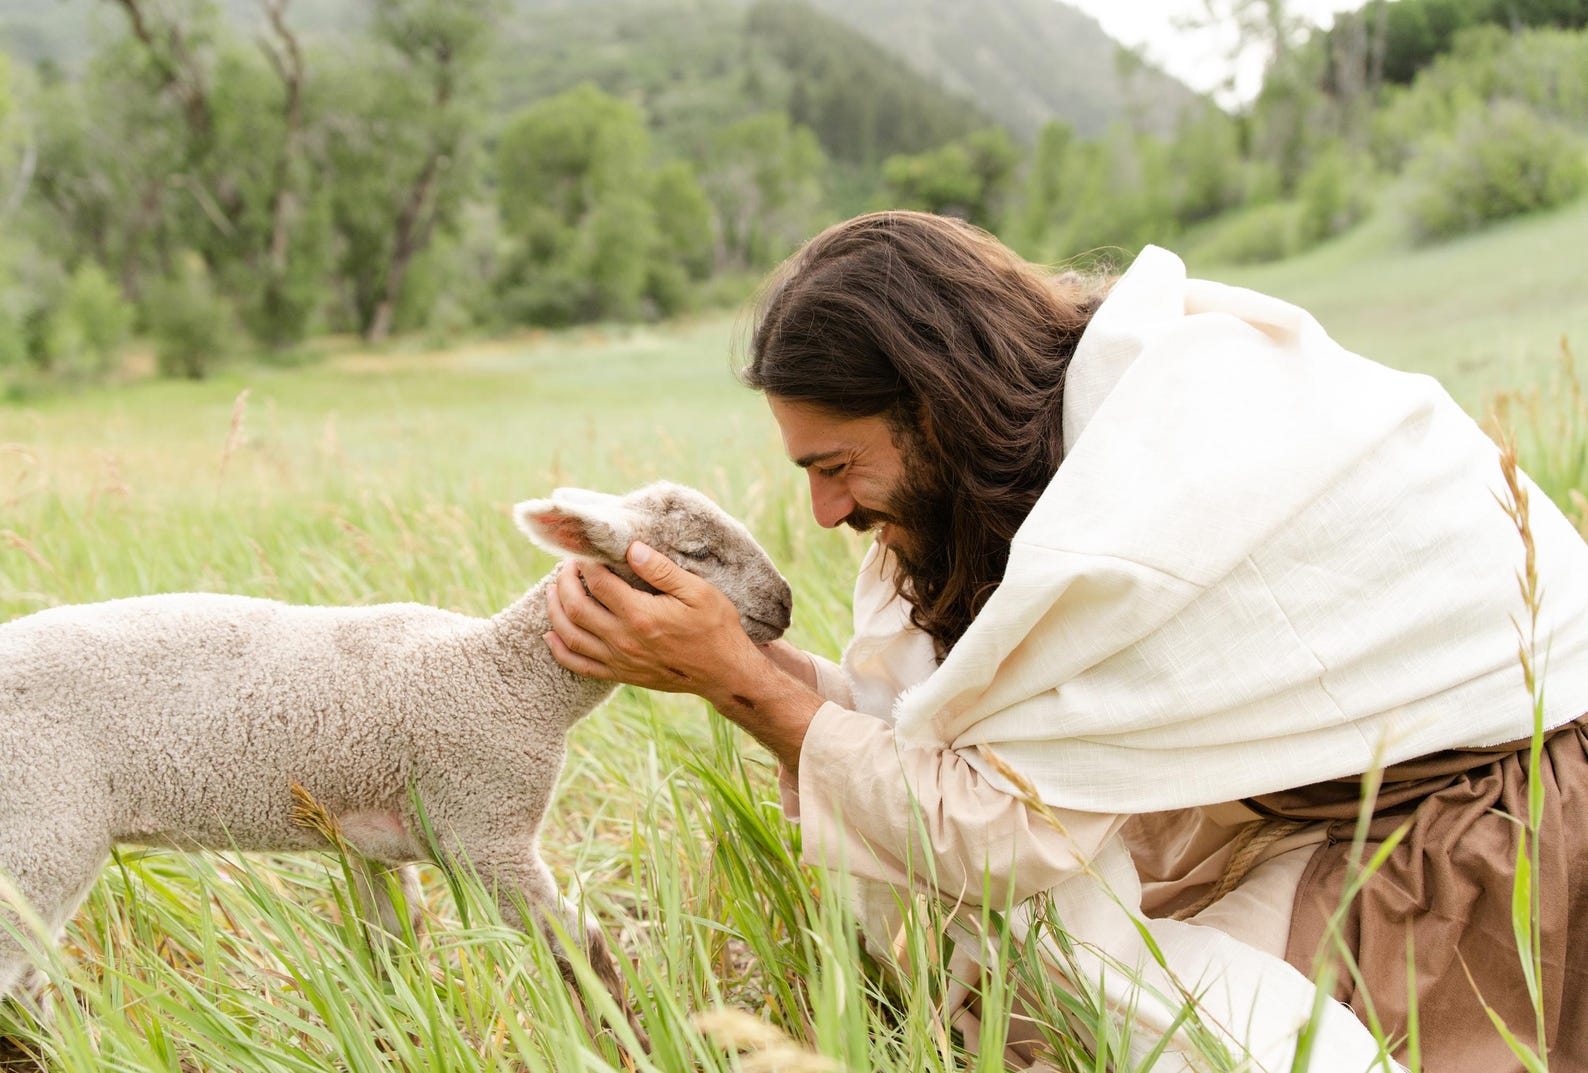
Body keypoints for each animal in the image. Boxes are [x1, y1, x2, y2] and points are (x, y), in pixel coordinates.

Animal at [0, 480, 793, 1036]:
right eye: (697, 552)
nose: (785, 605)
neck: (501, 675)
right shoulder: (486, 828)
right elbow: (584, 953)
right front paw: (634, 1041)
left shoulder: (377, 843)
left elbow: (393, 953)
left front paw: (401, 1035)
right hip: (41, 829)